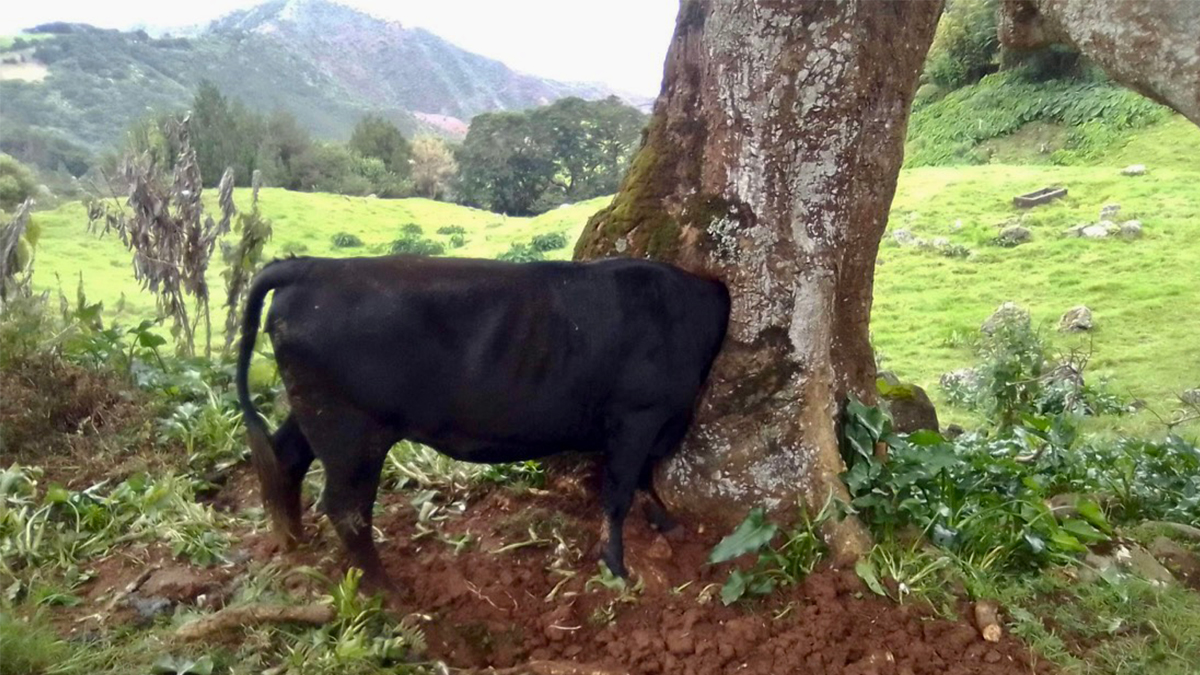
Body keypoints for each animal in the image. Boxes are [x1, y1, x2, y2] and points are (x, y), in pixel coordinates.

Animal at [235, 254, 730, 598]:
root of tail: (308, 266)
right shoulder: (637, 415)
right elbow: (619, 491)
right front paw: (617, 567)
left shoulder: (655, 421)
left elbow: (645, 476)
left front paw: (665, 521)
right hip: (351, 427)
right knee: (345, 505)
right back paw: (387, 590)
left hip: (315, 409)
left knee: (286, 456)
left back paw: (293, 539)